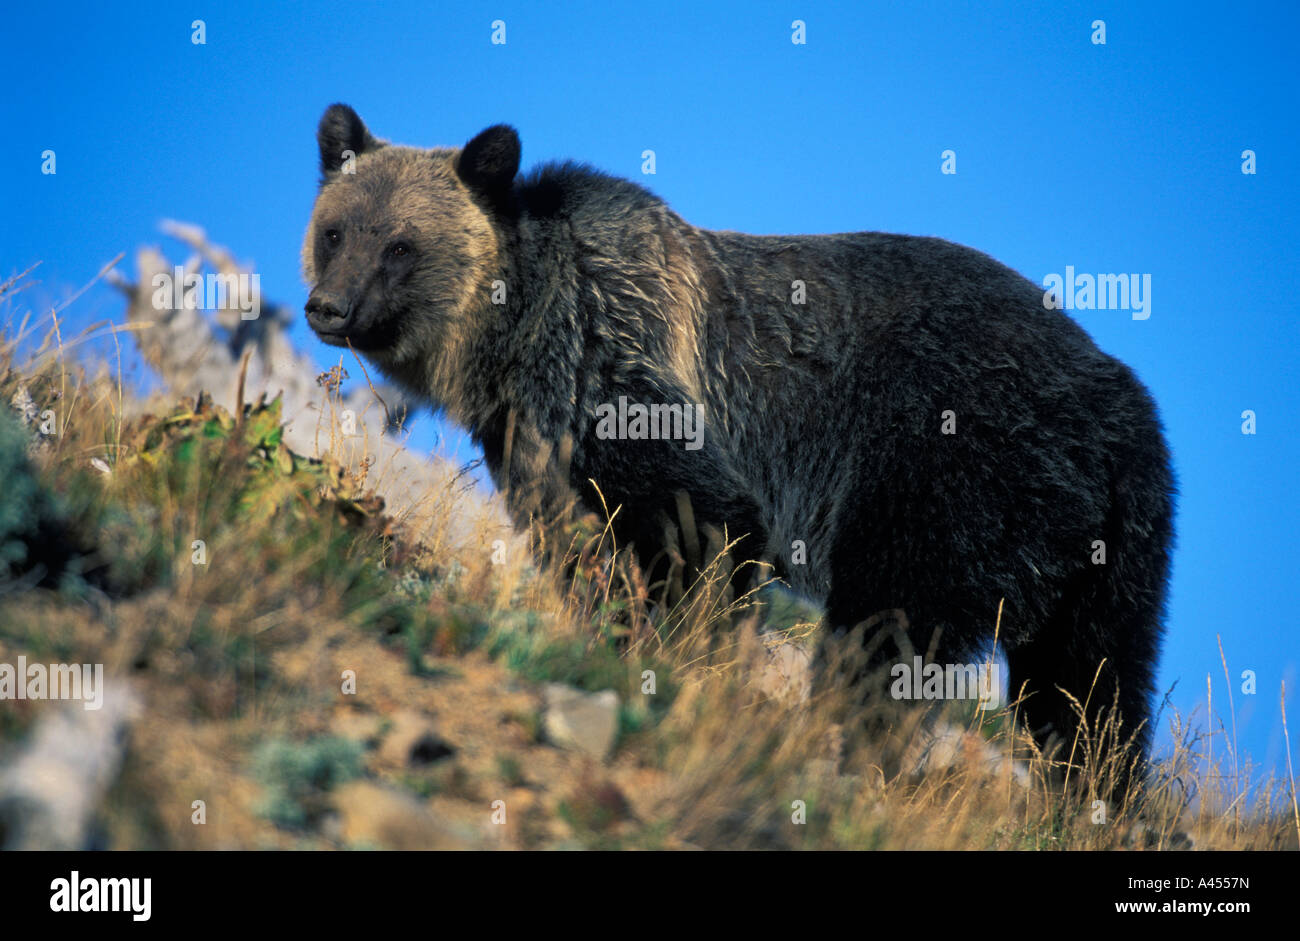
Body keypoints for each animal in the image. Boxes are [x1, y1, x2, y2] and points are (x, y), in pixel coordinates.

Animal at [302, 104, 1176, 784]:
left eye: (401, 244)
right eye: (336, 229)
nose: (328, 307)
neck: (520, 345)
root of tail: (1120, 397)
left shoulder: (632, 376)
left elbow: (703, 529)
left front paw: (679, 669)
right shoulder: (536, 447)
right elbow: (581, 550)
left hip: (947, 468)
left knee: (888, 630)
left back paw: (842, 751)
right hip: (1107, 551)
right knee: (1091, 691)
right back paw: (1094, 798)